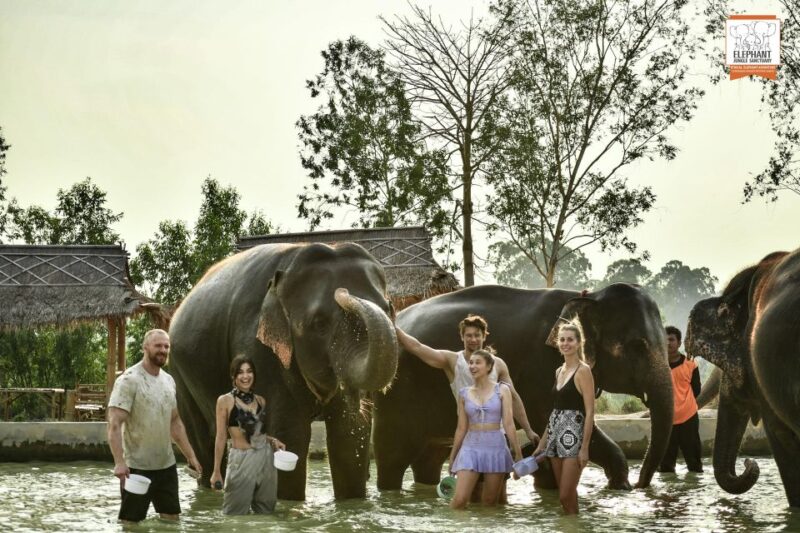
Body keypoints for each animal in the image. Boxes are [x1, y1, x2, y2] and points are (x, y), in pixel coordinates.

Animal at [168, 242, 399, 500]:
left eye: (389, 309)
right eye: (319, 323)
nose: (343, 291)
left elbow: (349, 435)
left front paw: (352, 503)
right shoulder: (257, 347)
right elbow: (291, 433)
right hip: (179, 372)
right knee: (204, 443)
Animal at [374, 283, 674, 491]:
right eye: (637, 346)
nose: (640, 486)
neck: (587, 295)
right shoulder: (542, 367)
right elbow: (546, 419)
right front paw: (620, 486)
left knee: (429, 459)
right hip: (396, 395)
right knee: (392, 456)